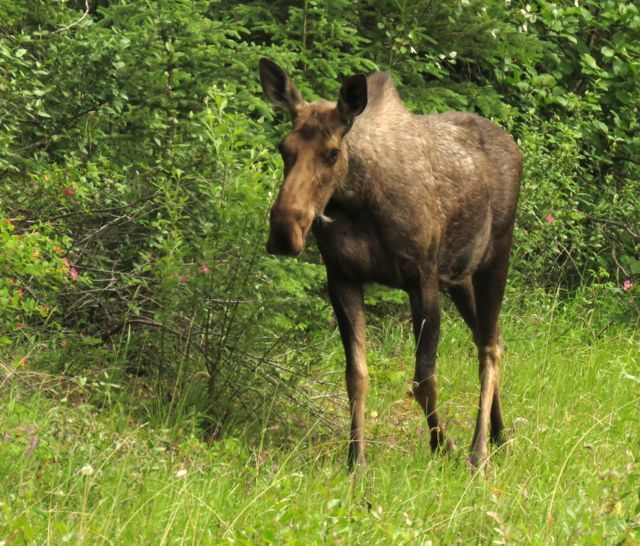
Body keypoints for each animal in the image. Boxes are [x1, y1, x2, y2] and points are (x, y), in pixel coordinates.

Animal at [259, 58, 522, 470]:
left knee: (489, 348)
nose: (285, 233)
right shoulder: (342, 278)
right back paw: (499, 435)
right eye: (284, 148)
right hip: (459, 278)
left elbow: (424, 378)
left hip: (496, 257)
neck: (356, 200)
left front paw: (442, 445)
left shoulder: (422, 278)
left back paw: (478, 450)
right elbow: (356, 374)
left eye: (332, 153)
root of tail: (514, 145)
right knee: (488, 337)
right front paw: (356, 459)